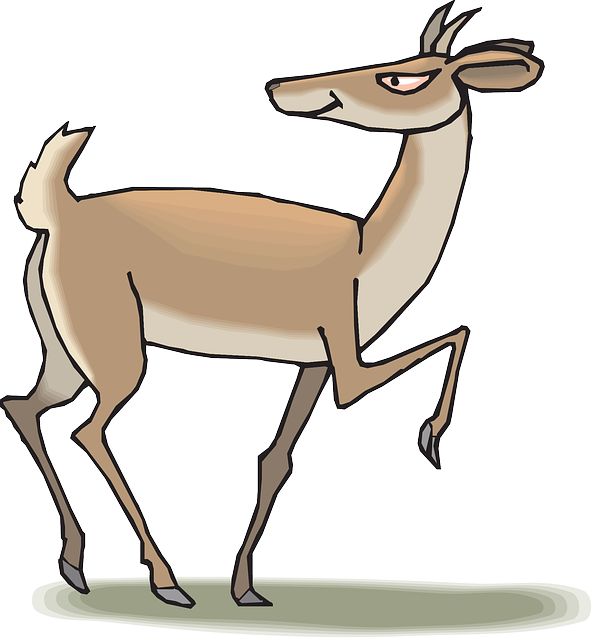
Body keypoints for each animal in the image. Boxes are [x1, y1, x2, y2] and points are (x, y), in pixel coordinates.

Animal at [1, 2, 543, 609]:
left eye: (402, 76)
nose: (280, 86)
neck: (368, 254)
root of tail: (56, 209)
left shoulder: (314, 363)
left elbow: (275, 459)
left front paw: (246, 589)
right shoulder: (348, 364)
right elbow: (457, 332)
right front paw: (430, 439)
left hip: (66, 353)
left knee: (22, 406)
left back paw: (76, 564)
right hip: (118, 355)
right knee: (87, 431)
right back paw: (167, 582)